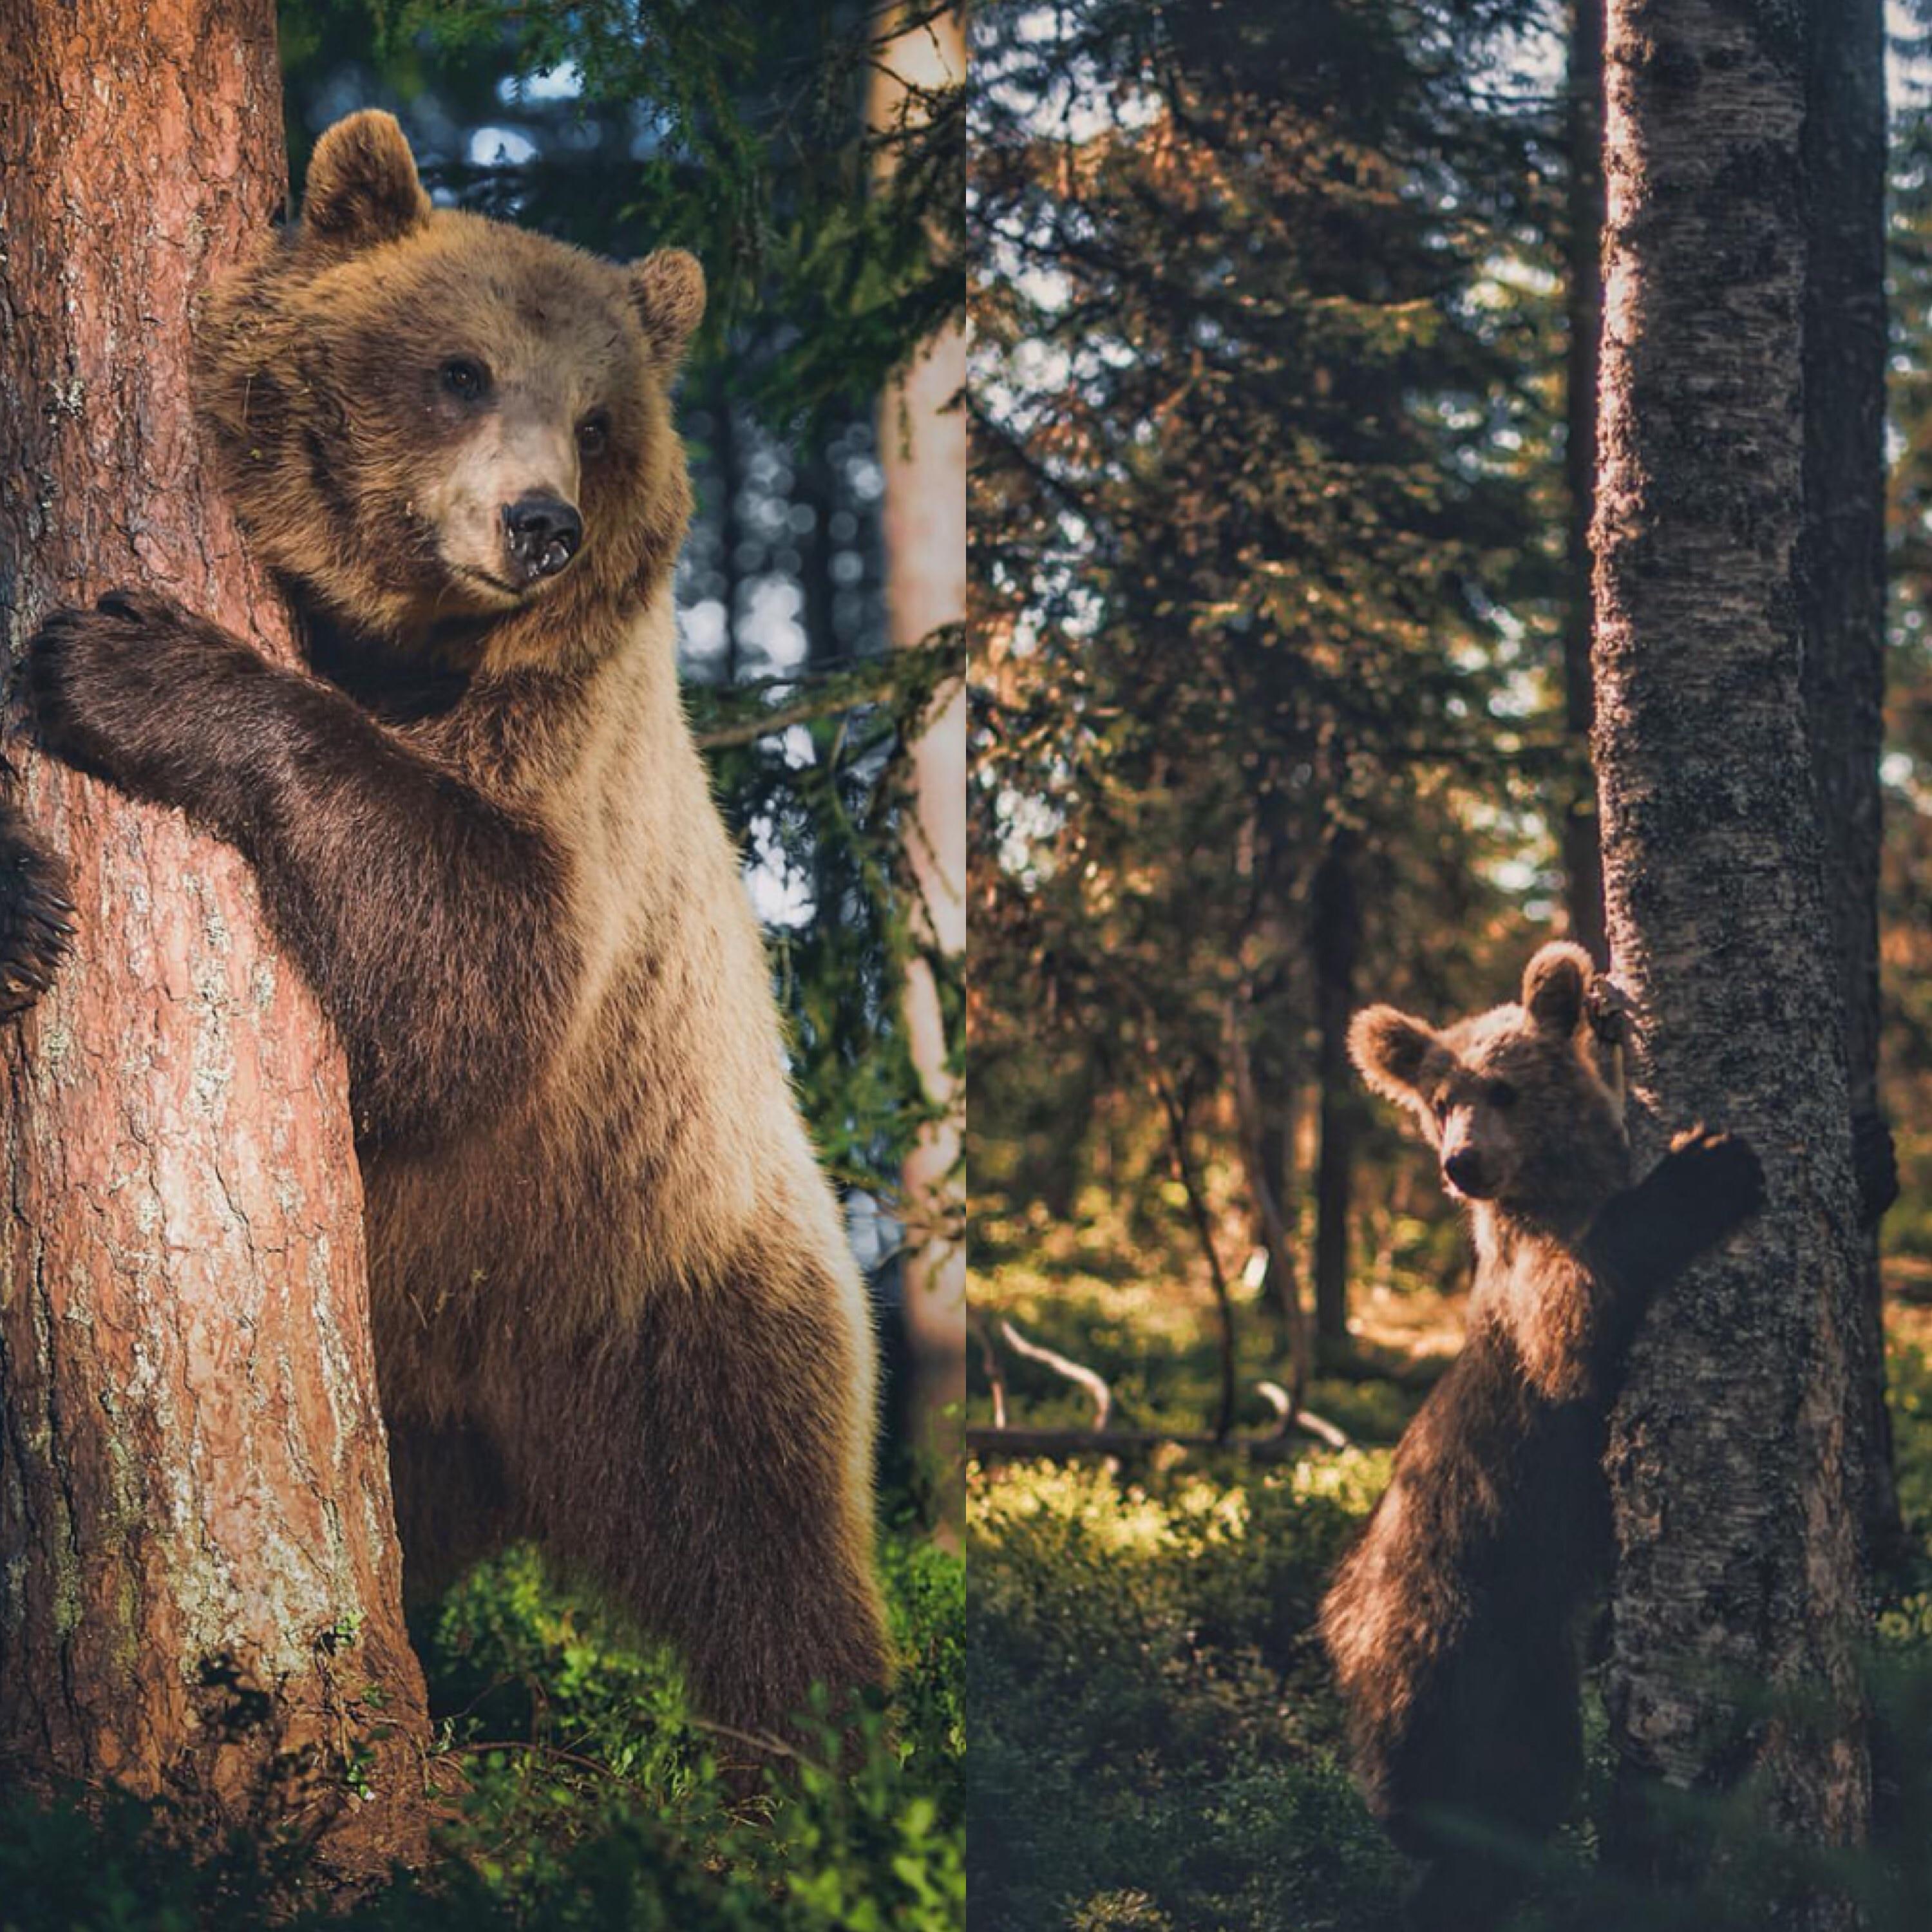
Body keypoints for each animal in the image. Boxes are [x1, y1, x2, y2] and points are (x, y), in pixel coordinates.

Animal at [9, 109, 889, 1746]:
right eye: (462, 368)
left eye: (599, 420)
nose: (538, 523)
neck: (392, 640)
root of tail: (499, 1430)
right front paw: (22, 902)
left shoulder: (561, 749)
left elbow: (485, 969)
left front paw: (129, 663)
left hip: (666, 1272)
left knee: (766, 1534)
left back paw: (821, 1758)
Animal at [1320, 942, 1765, 1930]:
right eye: (1439, 1097)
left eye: (1504, 1087)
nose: (1464, 1162)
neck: (1554, 1190)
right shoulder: (1533, 1310)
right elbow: (1579, 1312)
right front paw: (1710, 1165)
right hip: (1461, 1638)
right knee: (1491, 1799)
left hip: (1527, 1657)